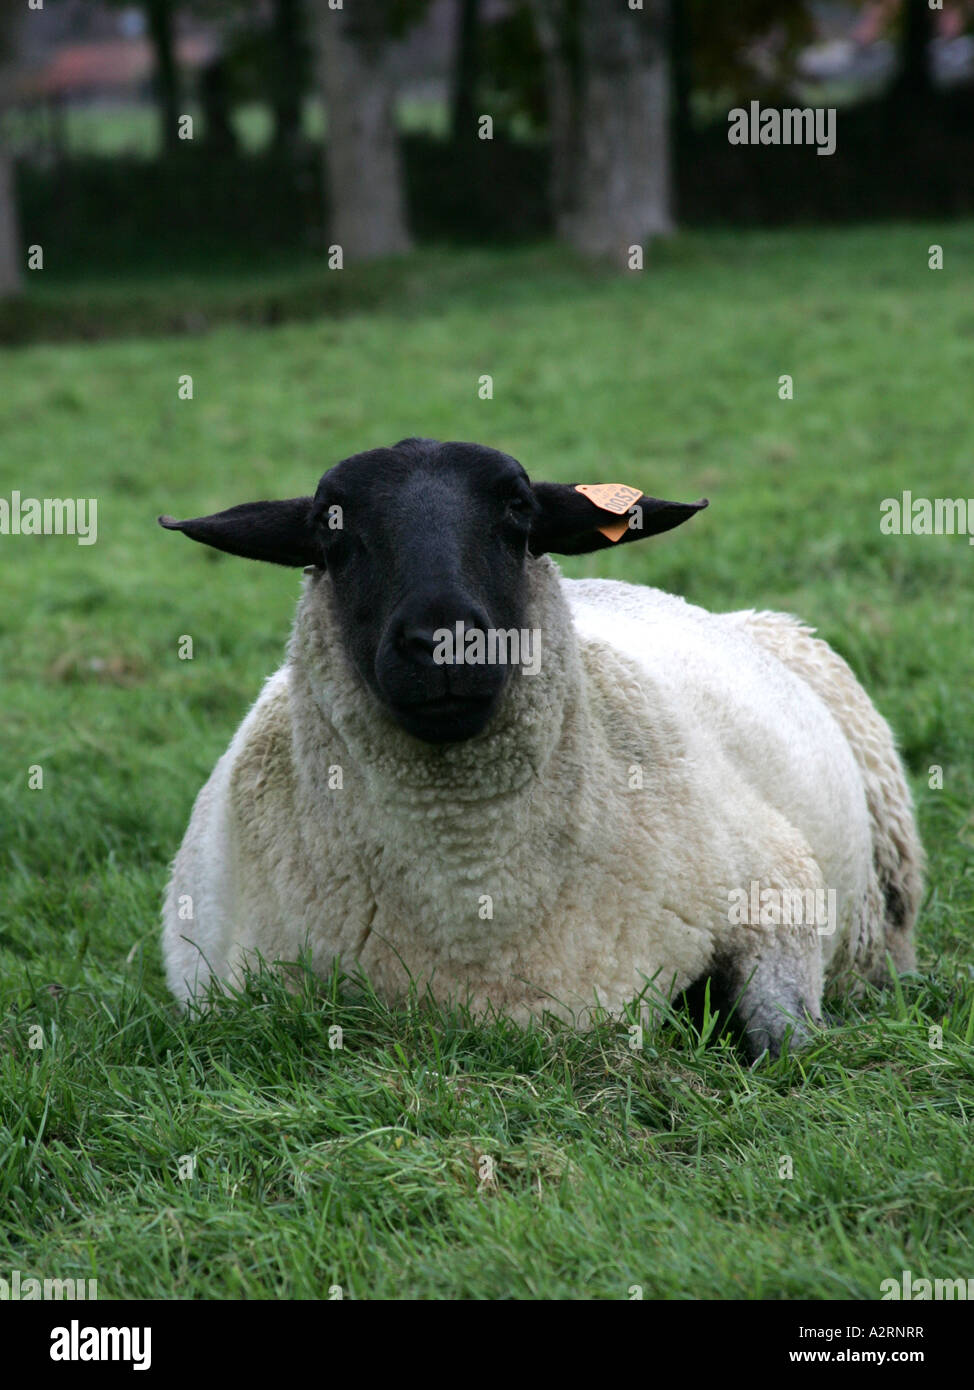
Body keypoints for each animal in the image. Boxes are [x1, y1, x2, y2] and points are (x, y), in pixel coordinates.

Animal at [159, 437, 923, 1057]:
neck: (476, 897)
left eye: (519, 511)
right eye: (331, 527)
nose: (444, 640)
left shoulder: (776, 884)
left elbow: (785, 1040)